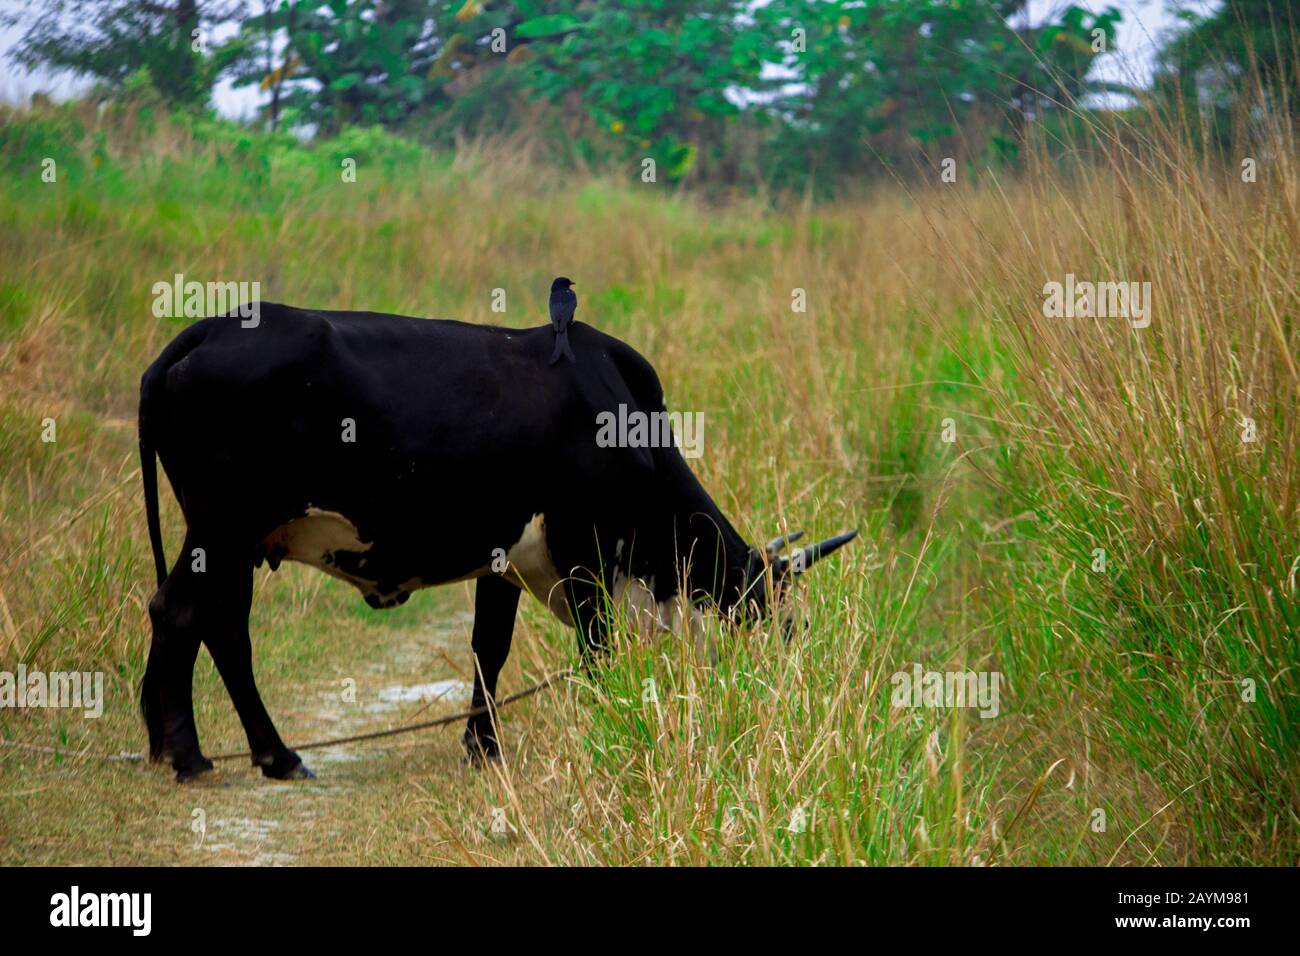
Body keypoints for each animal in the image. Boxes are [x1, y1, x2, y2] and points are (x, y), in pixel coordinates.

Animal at [138, 302, 857, 781]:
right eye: (784, 621)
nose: (793, 694)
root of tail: (209, 326)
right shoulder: (584, 552)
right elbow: (595, 649)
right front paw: (604, 725)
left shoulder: (506, 560)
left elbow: (490, 649)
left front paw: (481, 747)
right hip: (224, 527)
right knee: (188, 614)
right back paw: (212, 756)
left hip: (229, 537)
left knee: (210, 622)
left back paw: (217, 748)